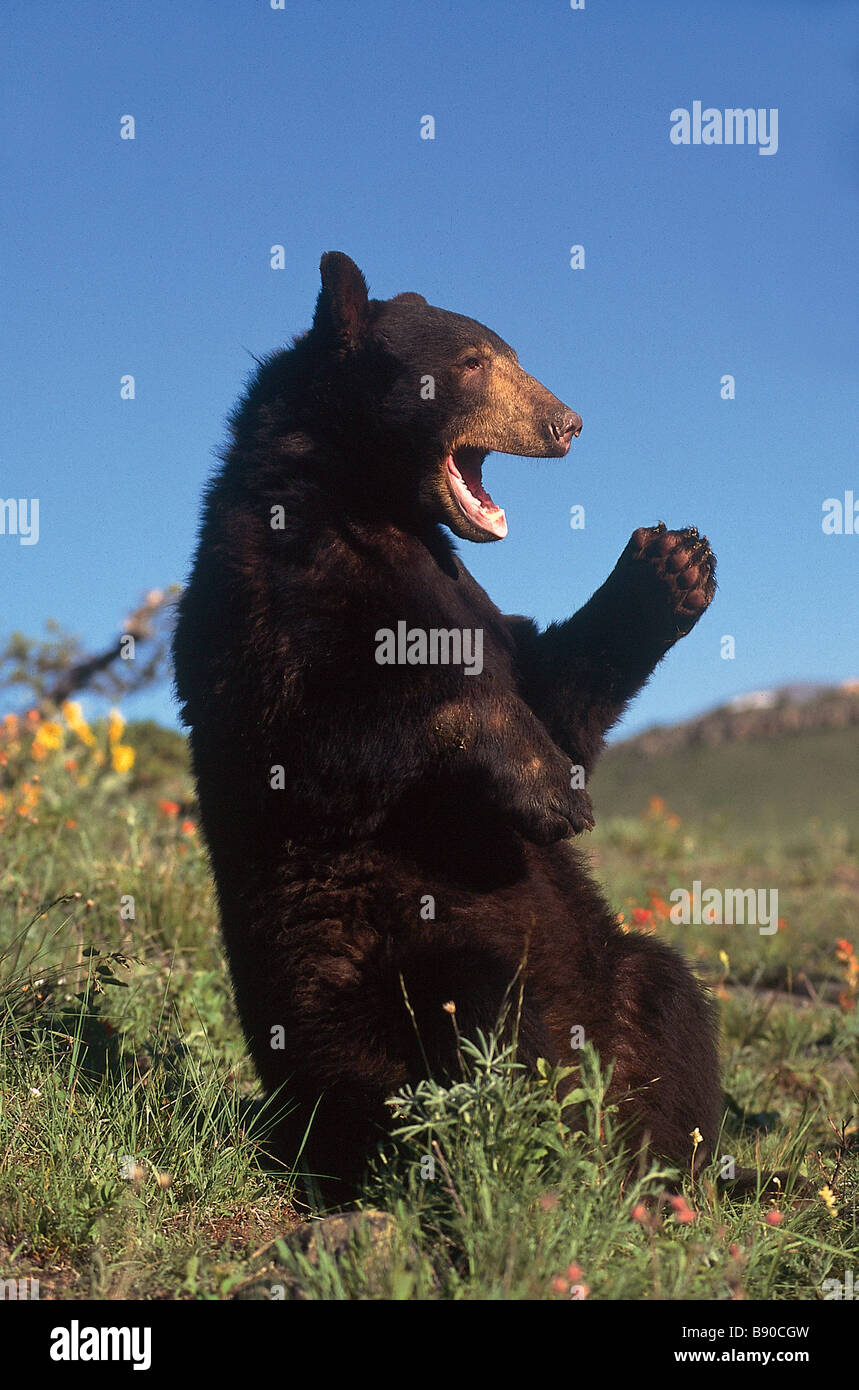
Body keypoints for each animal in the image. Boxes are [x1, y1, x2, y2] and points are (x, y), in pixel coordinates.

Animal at [172, 252, 721, 1202]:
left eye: (511, 353)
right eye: (471, 362)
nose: (566, 423)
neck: (372, 510)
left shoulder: (469, 598)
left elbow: (552, 694)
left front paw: (667, 569)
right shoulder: (266, 597)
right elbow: (317, 739)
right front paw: (543, 788)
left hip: (617, 977)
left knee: (670, 998)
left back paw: (662, 1174)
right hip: (388, 979)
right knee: (477, 1017)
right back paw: (525, 1155)